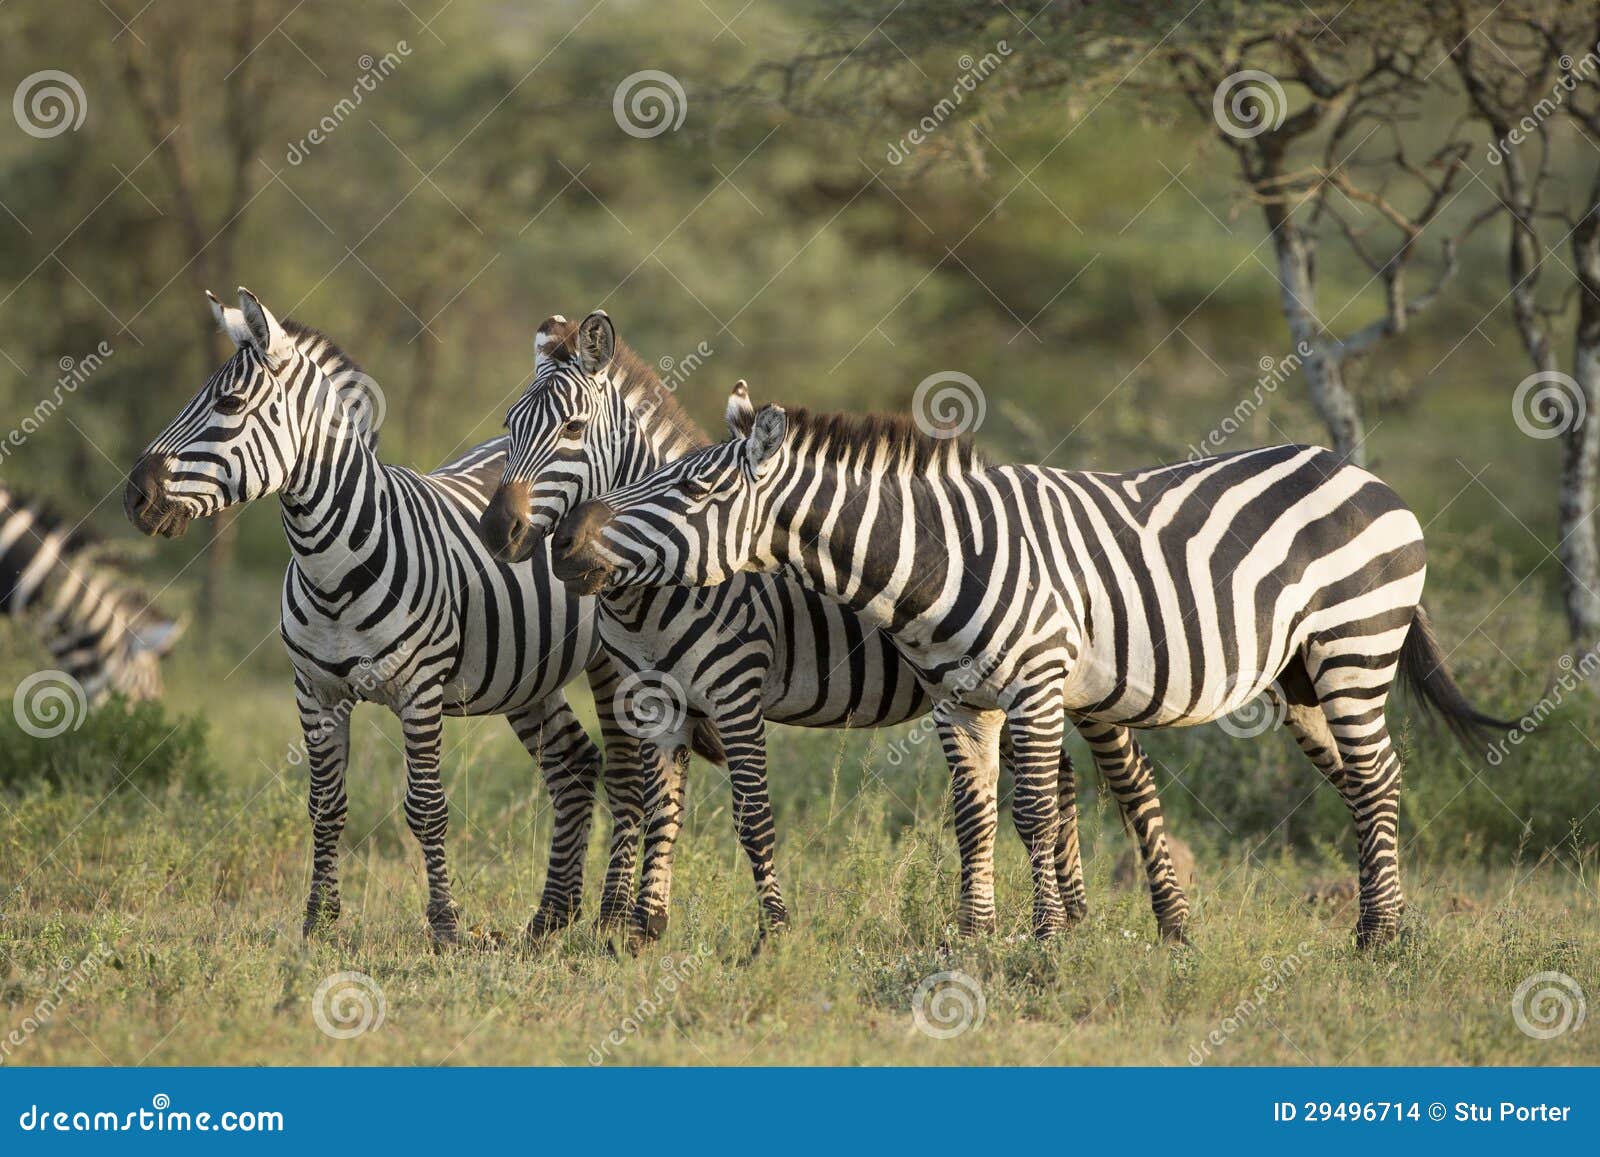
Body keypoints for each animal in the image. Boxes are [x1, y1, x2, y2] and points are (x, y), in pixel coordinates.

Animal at [122, 287, 708, 944]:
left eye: (228, 403)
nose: (134, 495)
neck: (334, 567)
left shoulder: (420, 691)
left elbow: (426, 808)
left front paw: (446, 928)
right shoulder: (314, 691)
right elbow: (325, 807)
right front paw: (318, 922)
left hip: (612, 662)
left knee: (632, 776)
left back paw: (612, 918)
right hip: (525, 674)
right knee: (573, 767)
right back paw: (551, 919)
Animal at [477, 311, 1191, 942]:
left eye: (572, 428)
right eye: (508, 426)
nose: (498, 530)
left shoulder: (736, 689)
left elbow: (752, 817)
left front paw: (774, 933)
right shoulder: (654, 696)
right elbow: (661, 810)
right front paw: (641, 932)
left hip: (1086, 681)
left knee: (1130, 779)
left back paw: (1169, 925)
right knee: (1063, 783)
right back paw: (1076, 916)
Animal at [547, 399, 1509, 947]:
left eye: (693, 491)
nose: (568, 548)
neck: (937, 560)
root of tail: (1357, 470)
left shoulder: (1038, 684)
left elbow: (1037, 812)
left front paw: (1044, 943)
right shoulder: (958, 701)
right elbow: (975, 817)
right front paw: (975, 937)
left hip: (1355, 644)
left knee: (1377, 776)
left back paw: (1378, 938)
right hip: (1303, 676)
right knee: (1364, 781)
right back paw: (1380, 921)